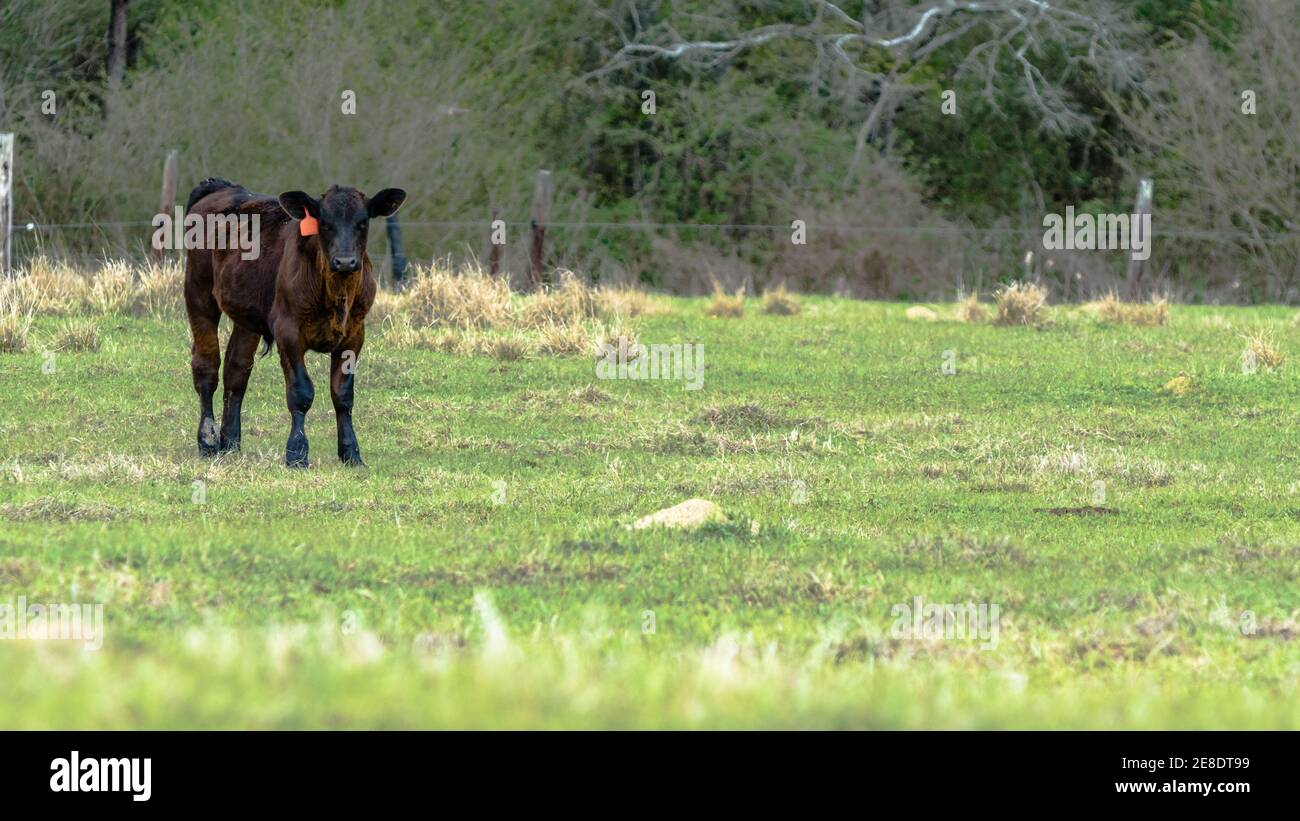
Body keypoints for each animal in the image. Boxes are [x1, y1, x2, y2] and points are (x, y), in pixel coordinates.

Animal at [183, 178, 406, 468]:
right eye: (324, 222)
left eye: (363, 222)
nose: (345, 261)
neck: (336, 295)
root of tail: (222, 187)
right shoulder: (288, 331)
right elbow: (301, 393)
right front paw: (297, 453)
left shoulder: (355, 334)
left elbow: (343, 395)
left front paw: (351, 453)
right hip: (198, 293)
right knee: (206, 367)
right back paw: (208, 442)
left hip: (248, 315)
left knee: (236, 371)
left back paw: (230, 443)